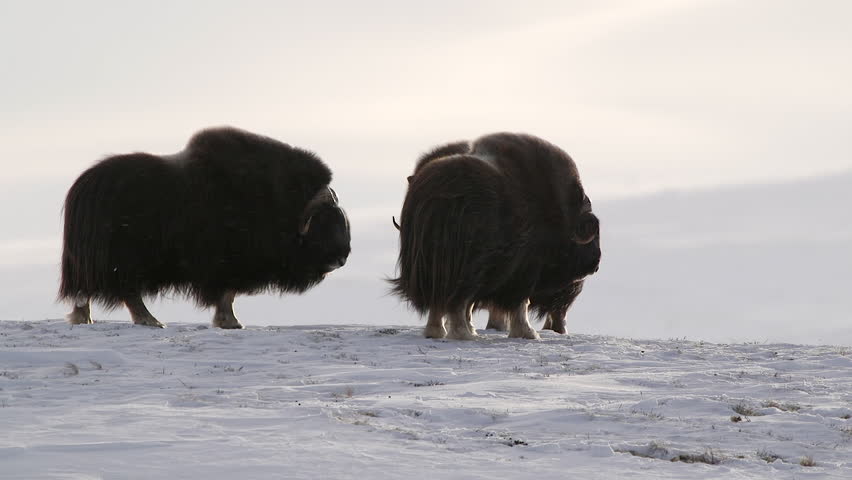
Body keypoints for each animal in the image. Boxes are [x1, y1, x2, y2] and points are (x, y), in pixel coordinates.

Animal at [59, 126, 351, 329]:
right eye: (324, 221)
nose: (342, 258)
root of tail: (82, 188)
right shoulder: (226, 265)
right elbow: (227, 294)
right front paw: (230, 322)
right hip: (123, 262)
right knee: (128, 293)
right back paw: (151, 321)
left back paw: (86, 318)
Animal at [391, 133, 600, 340]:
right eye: (594, 233)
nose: (596, 264)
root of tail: (435, 197)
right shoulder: (525, 268)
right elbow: (521, 302)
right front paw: (528, 333)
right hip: (464, 267)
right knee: (457, 300)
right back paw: (464, 334)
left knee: (443, 300)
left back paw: (439, 331)